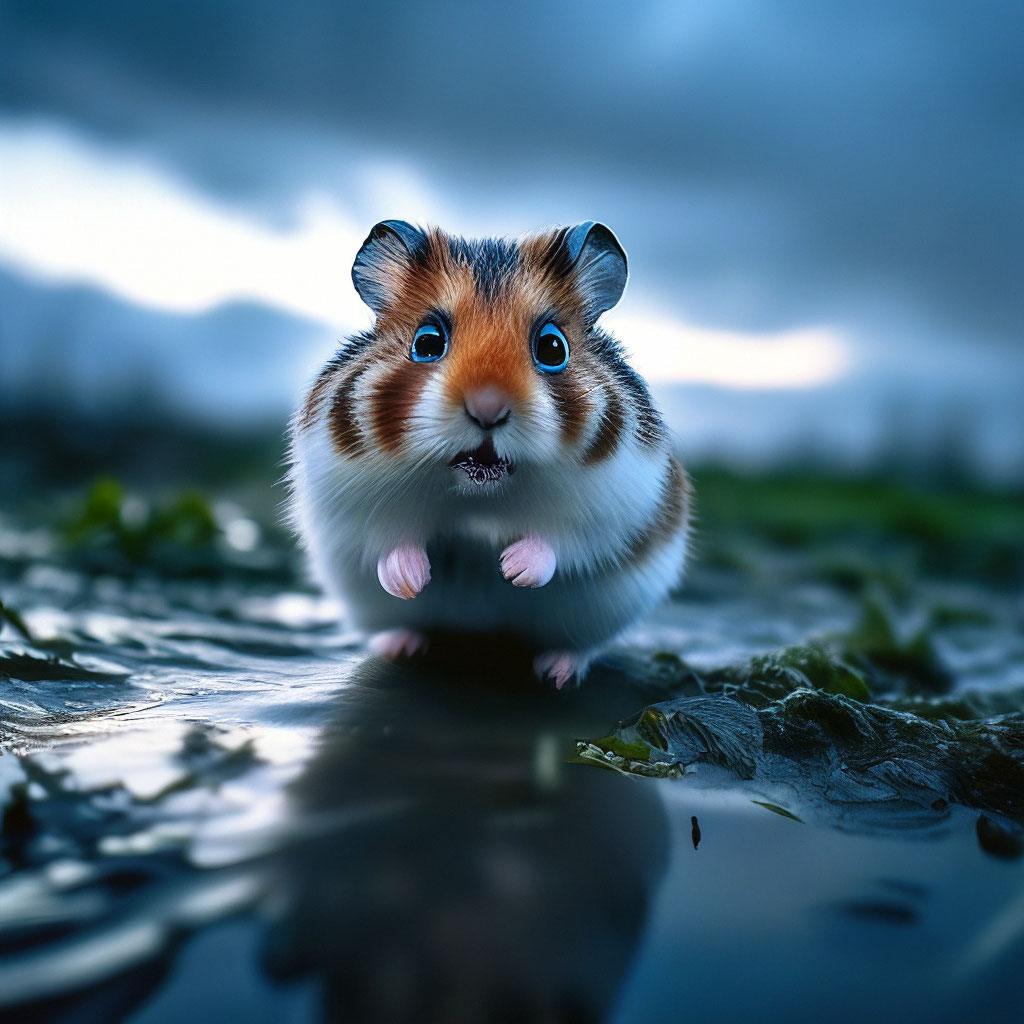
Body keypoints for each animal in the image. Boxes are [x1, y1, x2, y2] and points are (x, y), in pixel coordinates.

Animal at [287, 220, 691, 687]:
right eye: (427, 342)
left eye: (553, 347)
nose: (487, 410)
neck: (480, 493)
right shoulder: (344, 502)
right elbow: (386, 541)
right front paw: (411, 579)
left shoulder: (618, 504)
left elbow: (561, 543)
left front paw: (511, 569)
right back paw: (397, 647)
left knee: (580, 643)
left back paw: (556, 673)